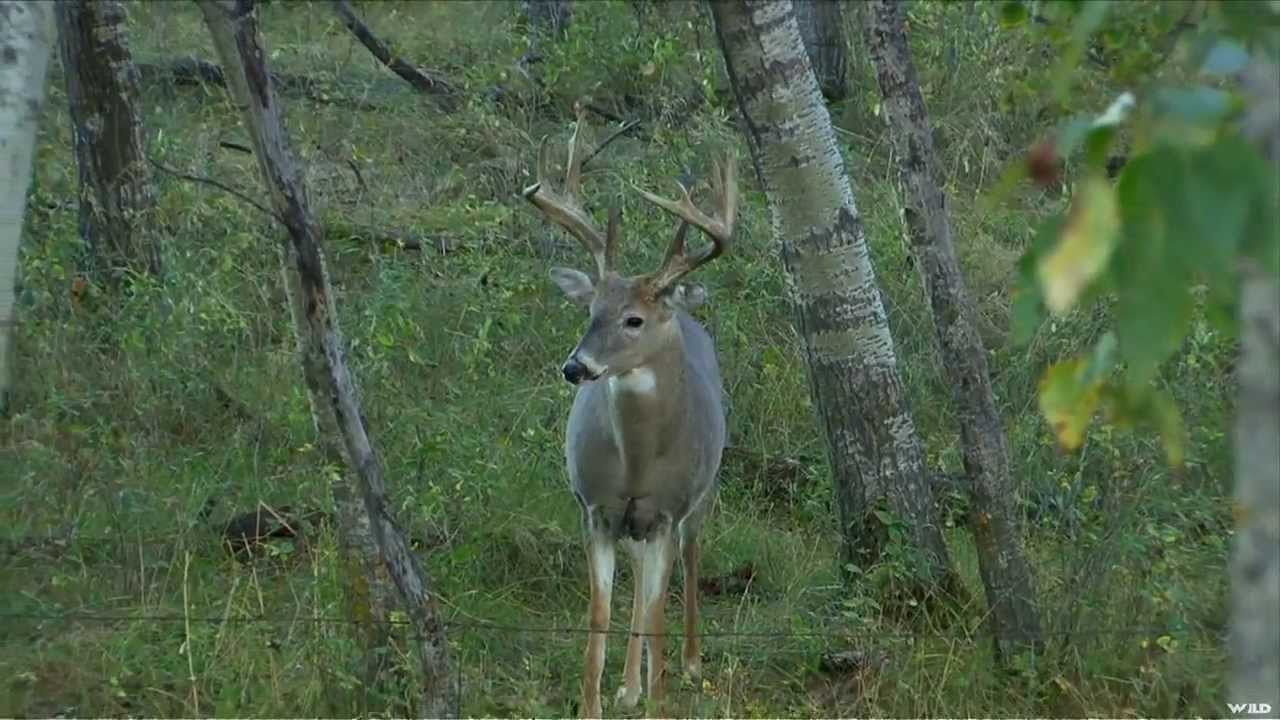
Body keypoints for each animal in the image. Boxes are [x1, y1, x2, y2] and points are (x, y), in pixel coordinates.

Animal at [522, 112, 736, 718]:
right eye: (590, 311)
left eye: (634, 319)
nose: (575, 366)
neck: (639, 464)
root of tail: (688, 310)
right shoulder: (596, 509)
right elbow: (600, 615)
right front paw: (595, 702)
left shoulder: (666, 508)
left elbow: (657, 610)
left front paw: (661, 698)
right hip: (633, 522)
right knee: (640, 578)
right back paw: (629, 685)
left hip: (703, 493)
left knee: (688, 559)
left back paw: (689, 663)